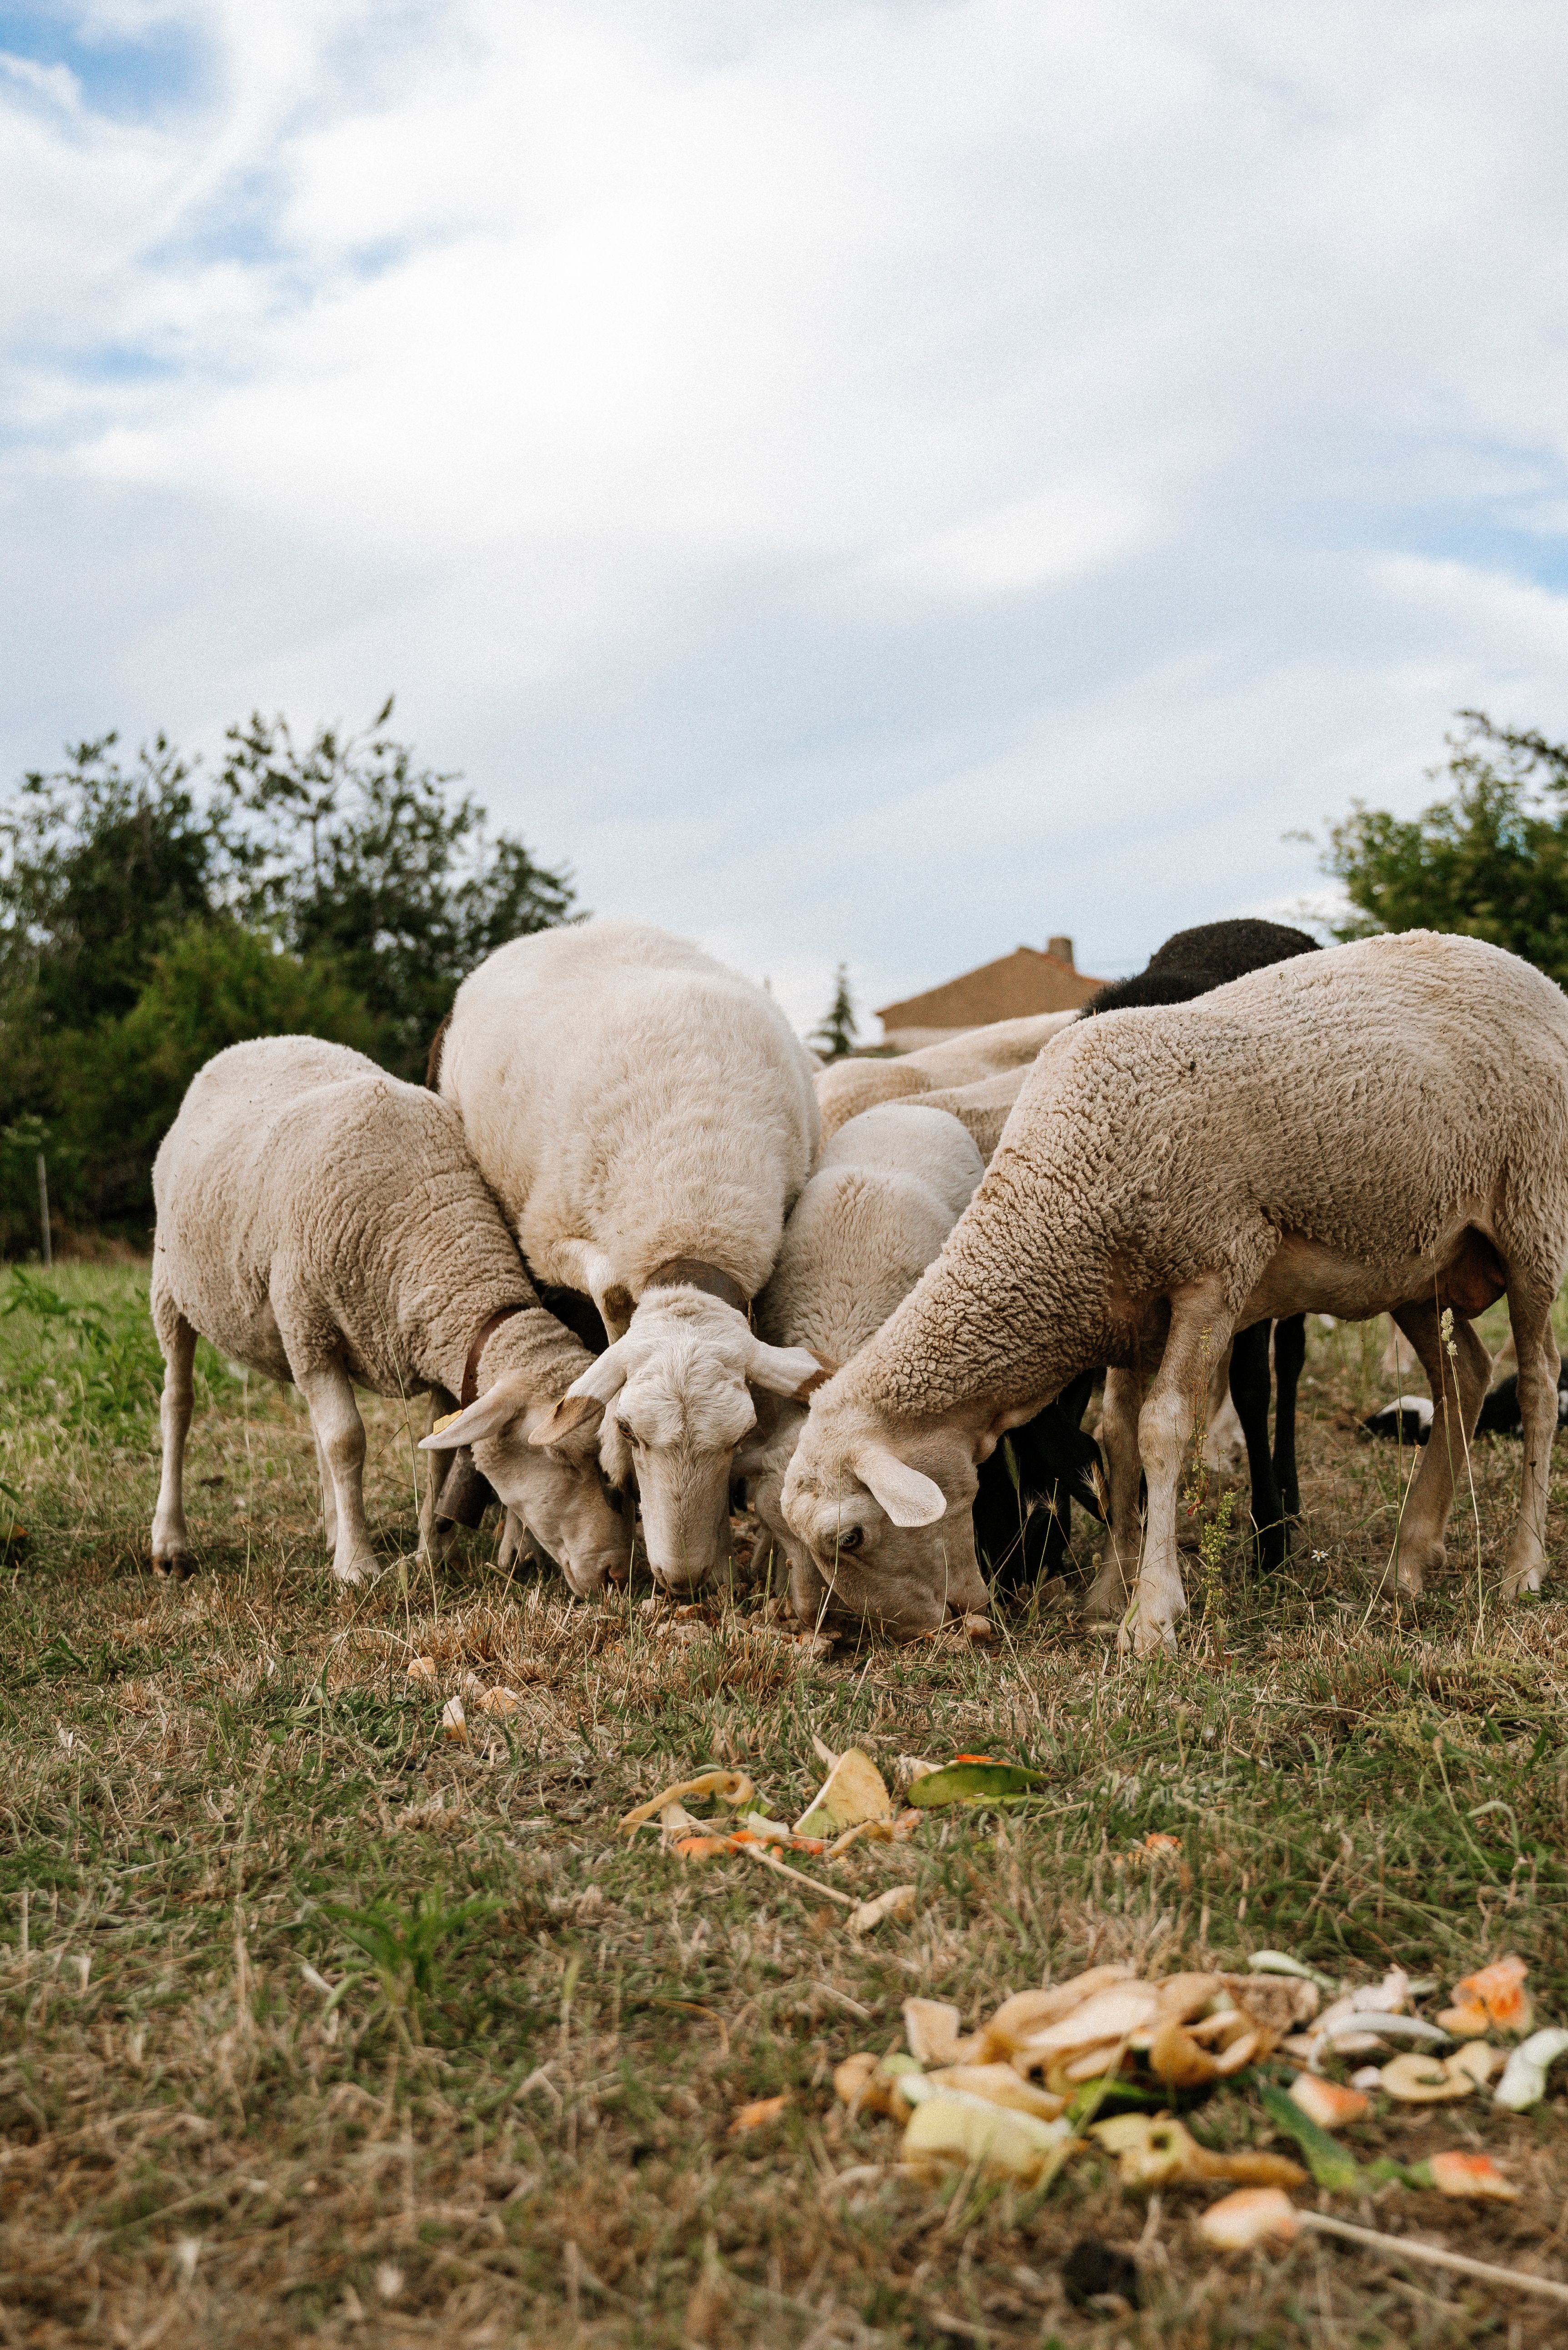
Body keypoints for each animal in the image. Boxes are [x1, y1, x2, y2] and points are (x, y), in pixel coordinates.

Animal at [149, 1037, 631, 1596]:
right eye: (559, 1457)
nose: (617, 1574)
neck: (432, 1229)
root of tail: (254, 1043)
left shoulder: (436, 1359)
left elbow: (434, 1456)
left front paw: (430, 1555)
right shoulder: (311, 1326)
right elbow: (347, 1441)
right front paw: (358, 1565)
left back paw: (333, 1528)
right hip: (172, 1288)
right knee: (177, 1404)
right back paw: (170, 1543)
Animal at [434, 920, 825, 1590]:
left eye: (741, 1437)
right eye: (631, 1432)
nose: (684, 1579)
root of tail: (572, 928)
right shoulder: (549, 1236)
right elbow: (614, 1292)